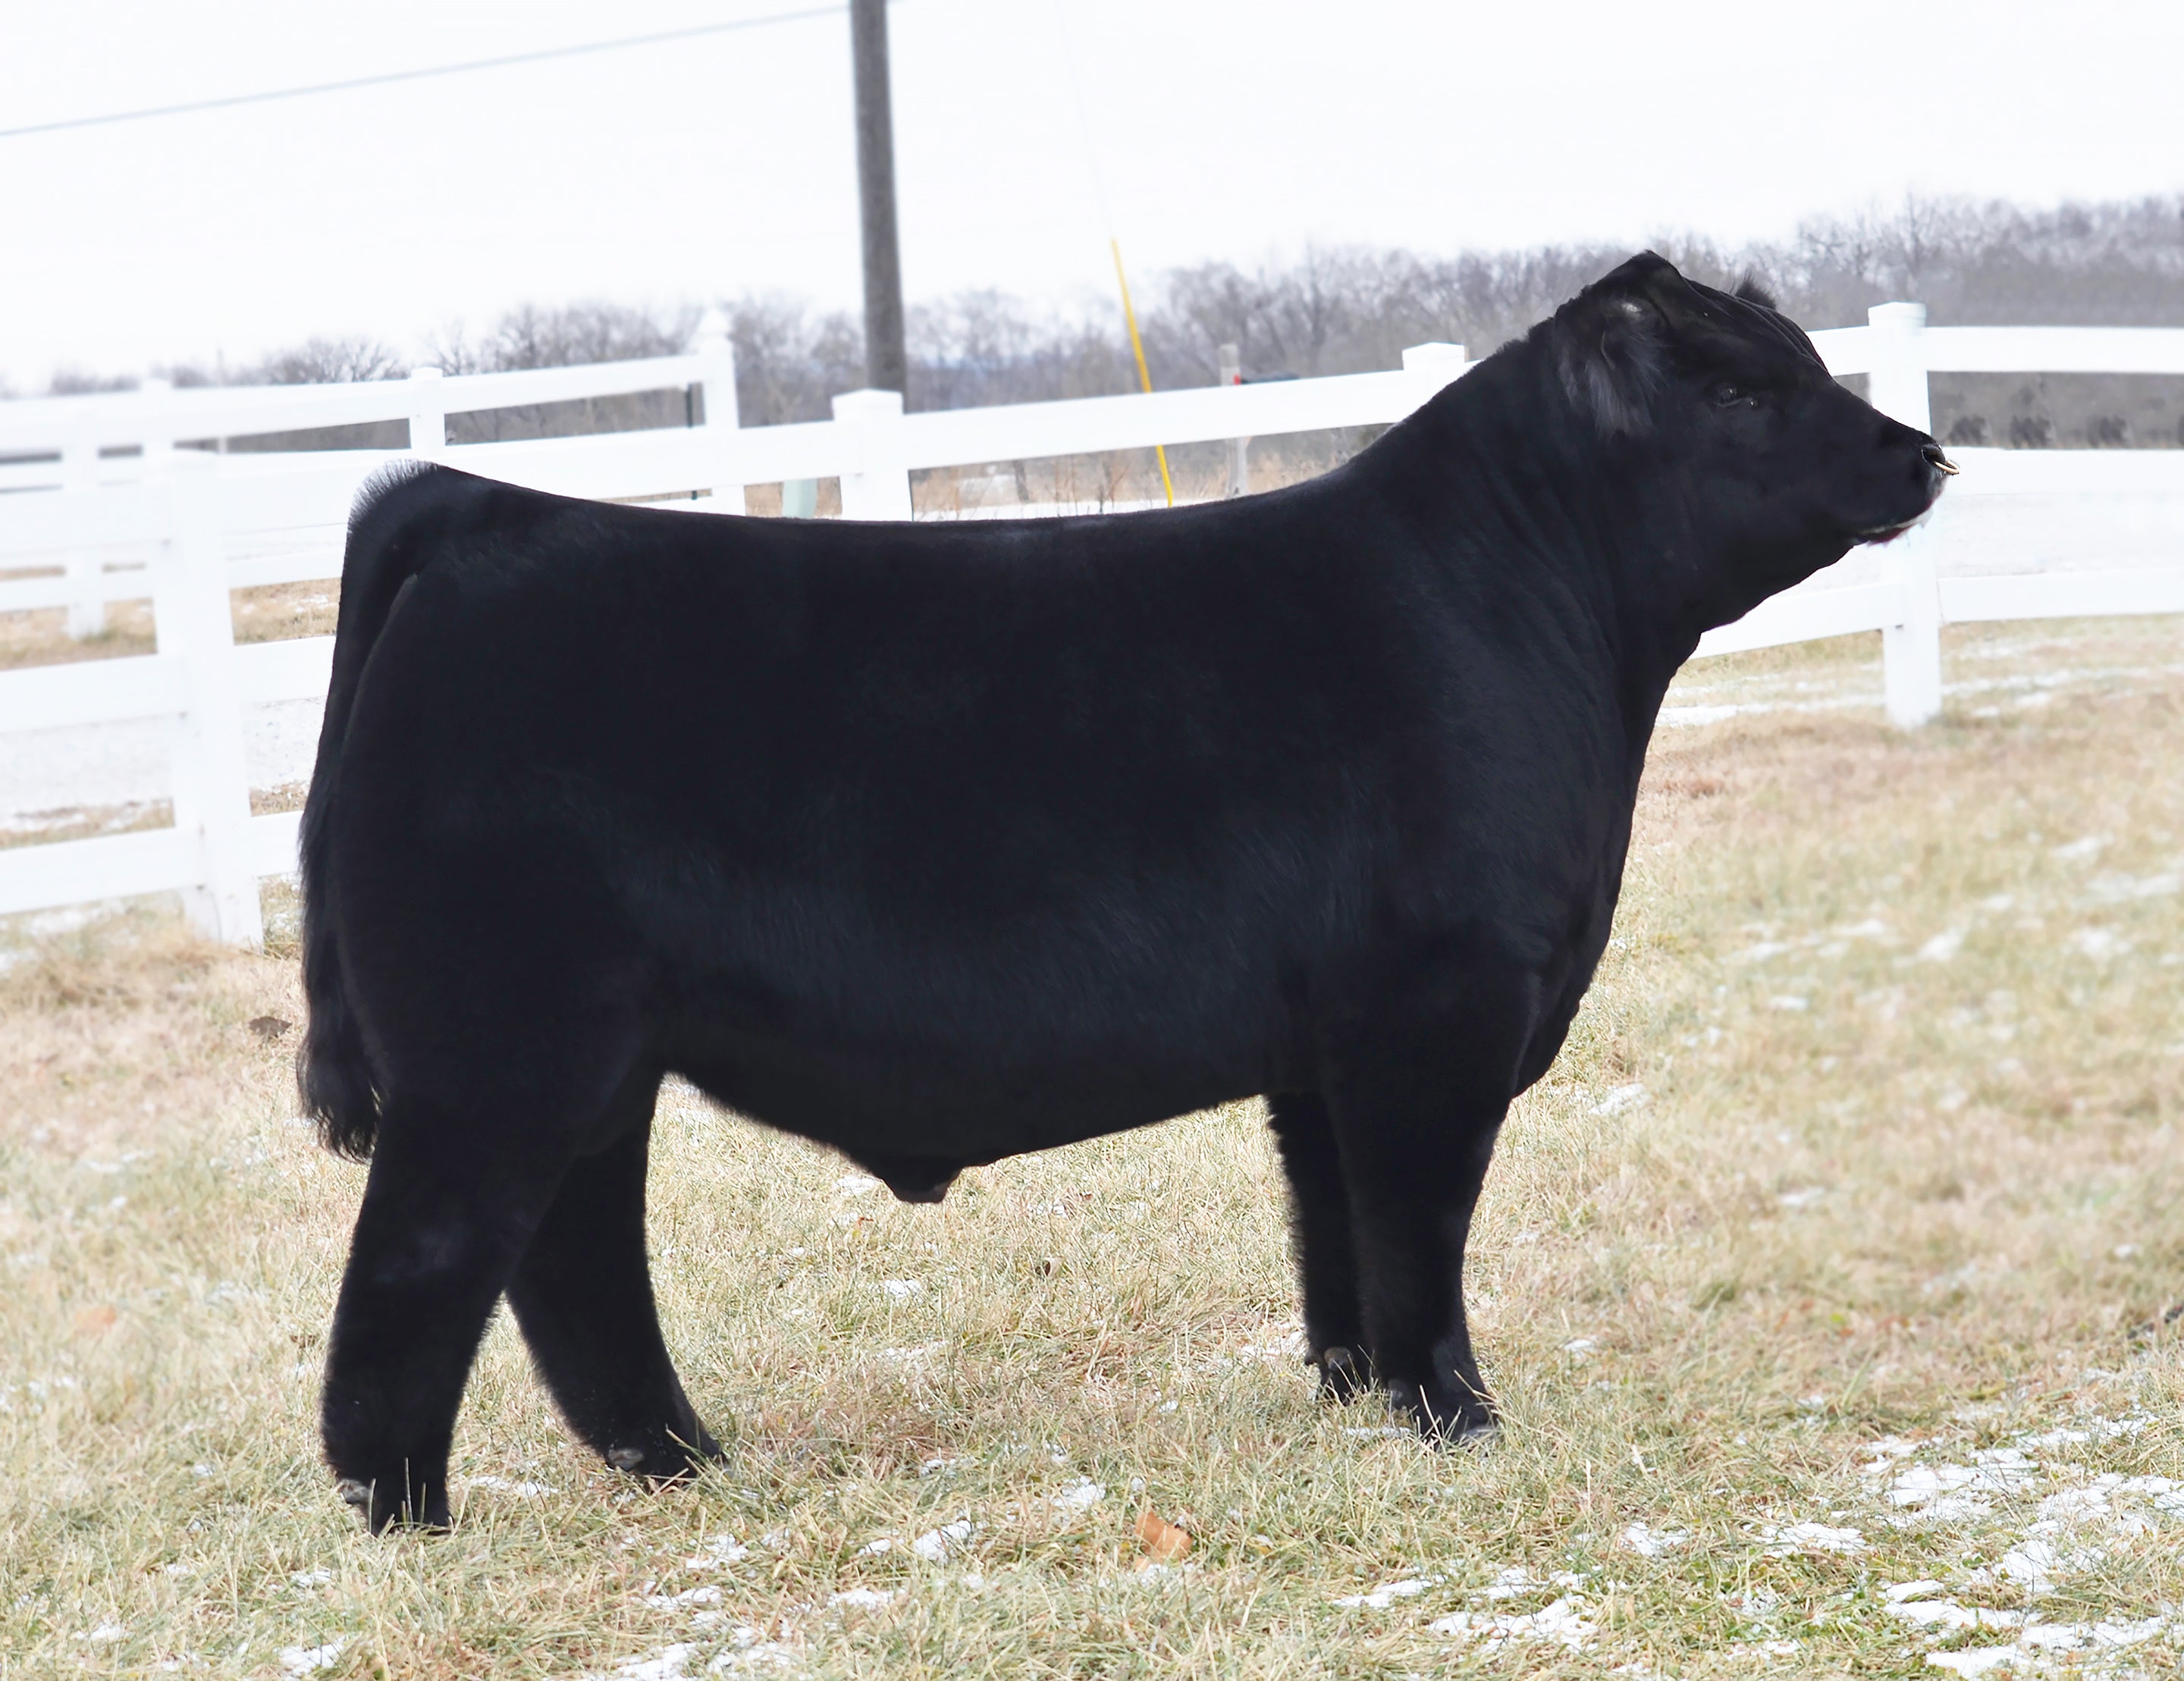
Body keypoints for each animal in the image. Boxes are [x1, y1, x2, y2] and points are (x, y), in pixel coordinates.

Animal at [297, 253, 1952, 1530]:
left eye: (1806, 358)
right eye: (1735, 393)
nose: (1923, 454)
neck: (1526, 610)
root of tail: (482, 510)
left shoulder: (1324, 1044)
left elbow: (1337, 1230)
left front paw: (1359, 1398)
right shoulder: (1440, 1006)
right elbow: (1420, 1227)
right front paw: (1460, 1417)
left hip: (594, 1056)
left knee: (576, 1261)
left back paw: (689, 1462)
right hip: (495, 1051)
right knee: (424, 1273)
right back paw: (413, 1517)